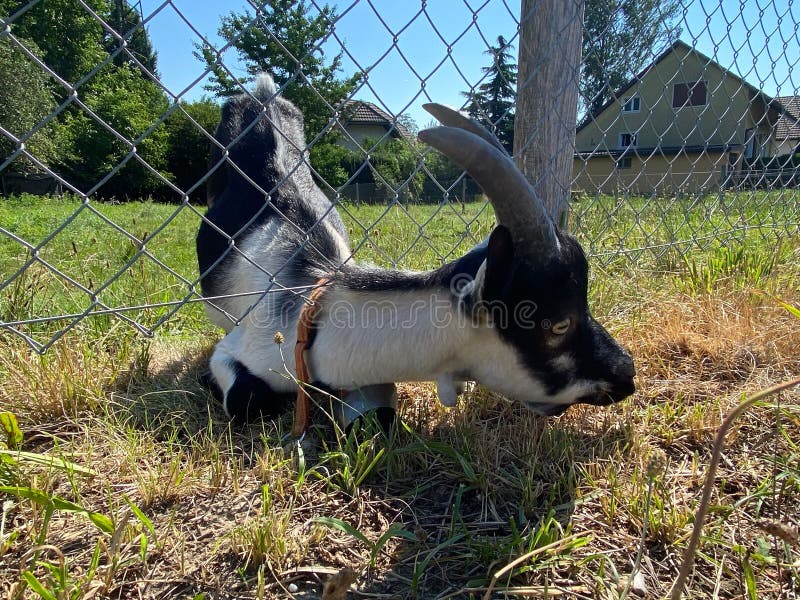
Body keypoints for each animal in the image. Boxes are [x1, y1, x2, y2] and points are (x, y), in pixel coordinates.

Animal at [196, 75, 636, 423]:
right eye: (558, 325)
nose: (627, 374)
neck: (312, 315)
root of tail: (263, 96)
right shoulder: (241, 347)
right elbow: (247, 397)